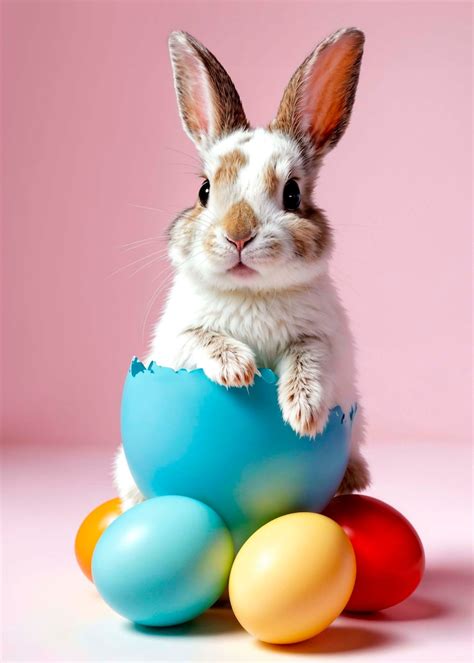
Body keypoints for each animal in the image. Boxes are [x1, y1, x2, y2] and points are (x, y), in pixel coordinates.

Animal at [114, 28, 370, 511]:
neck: (251, 293)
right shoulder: (179, 338)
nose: (238, 236)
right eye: (203, 190)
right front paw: (238, 369)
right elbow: (204, 337)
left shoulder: (325, 341)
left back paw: (355, 476)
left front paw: (304, 414)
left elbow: (308, 358)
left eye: (292, 194)